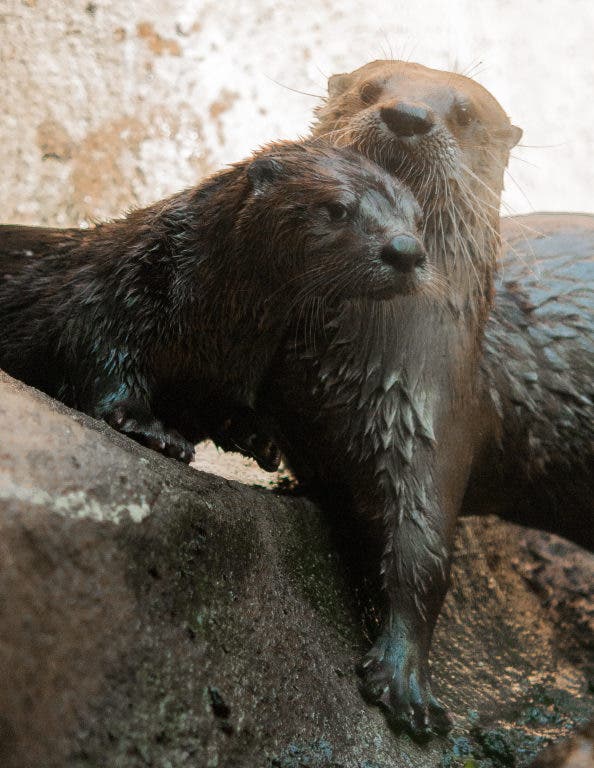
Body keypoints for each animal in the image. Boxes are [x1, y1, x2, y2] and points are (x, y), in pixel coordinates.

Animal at [0, 140, 430, 460]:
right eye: (338, 208)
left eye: (418, 218)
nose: (405, 249)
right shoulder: (110, 297)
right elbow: (100, 361)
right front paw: (155, 431)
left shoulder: (233, 367)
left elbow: (217, 404)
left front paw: (259, 436)